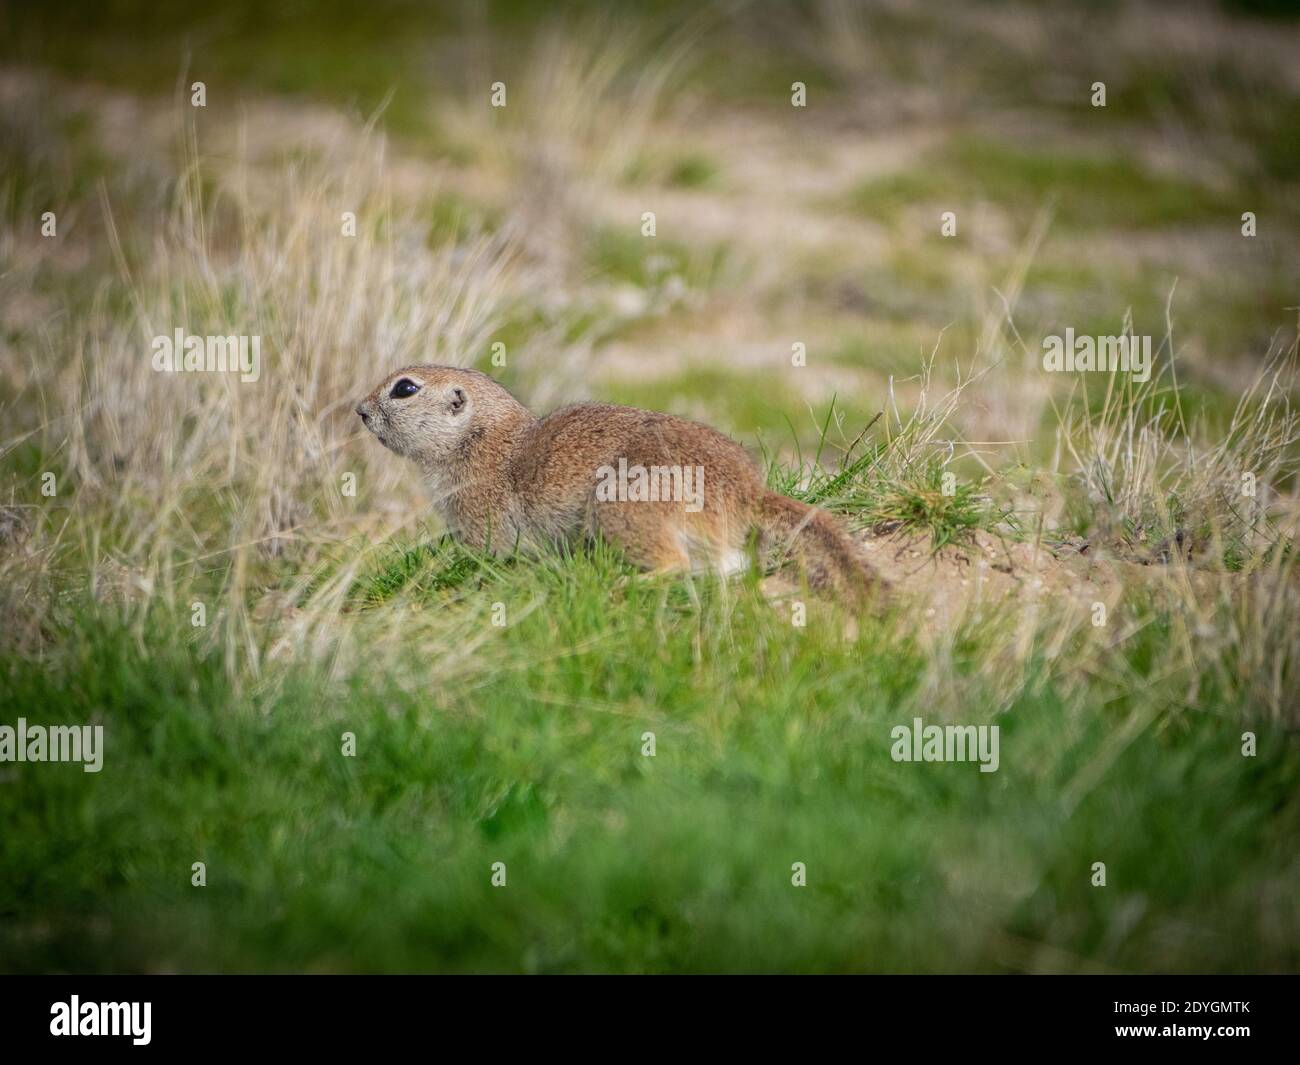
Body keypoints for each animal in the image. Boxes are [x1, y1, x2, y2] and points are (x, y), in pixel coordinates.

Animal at [356, 366, 886, 605]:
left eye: (405, 388)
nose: (359, 410)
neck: (479, 438)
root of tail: (747, 492)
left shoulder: (477, 513)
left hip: (621, 510)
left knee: (676, 565)